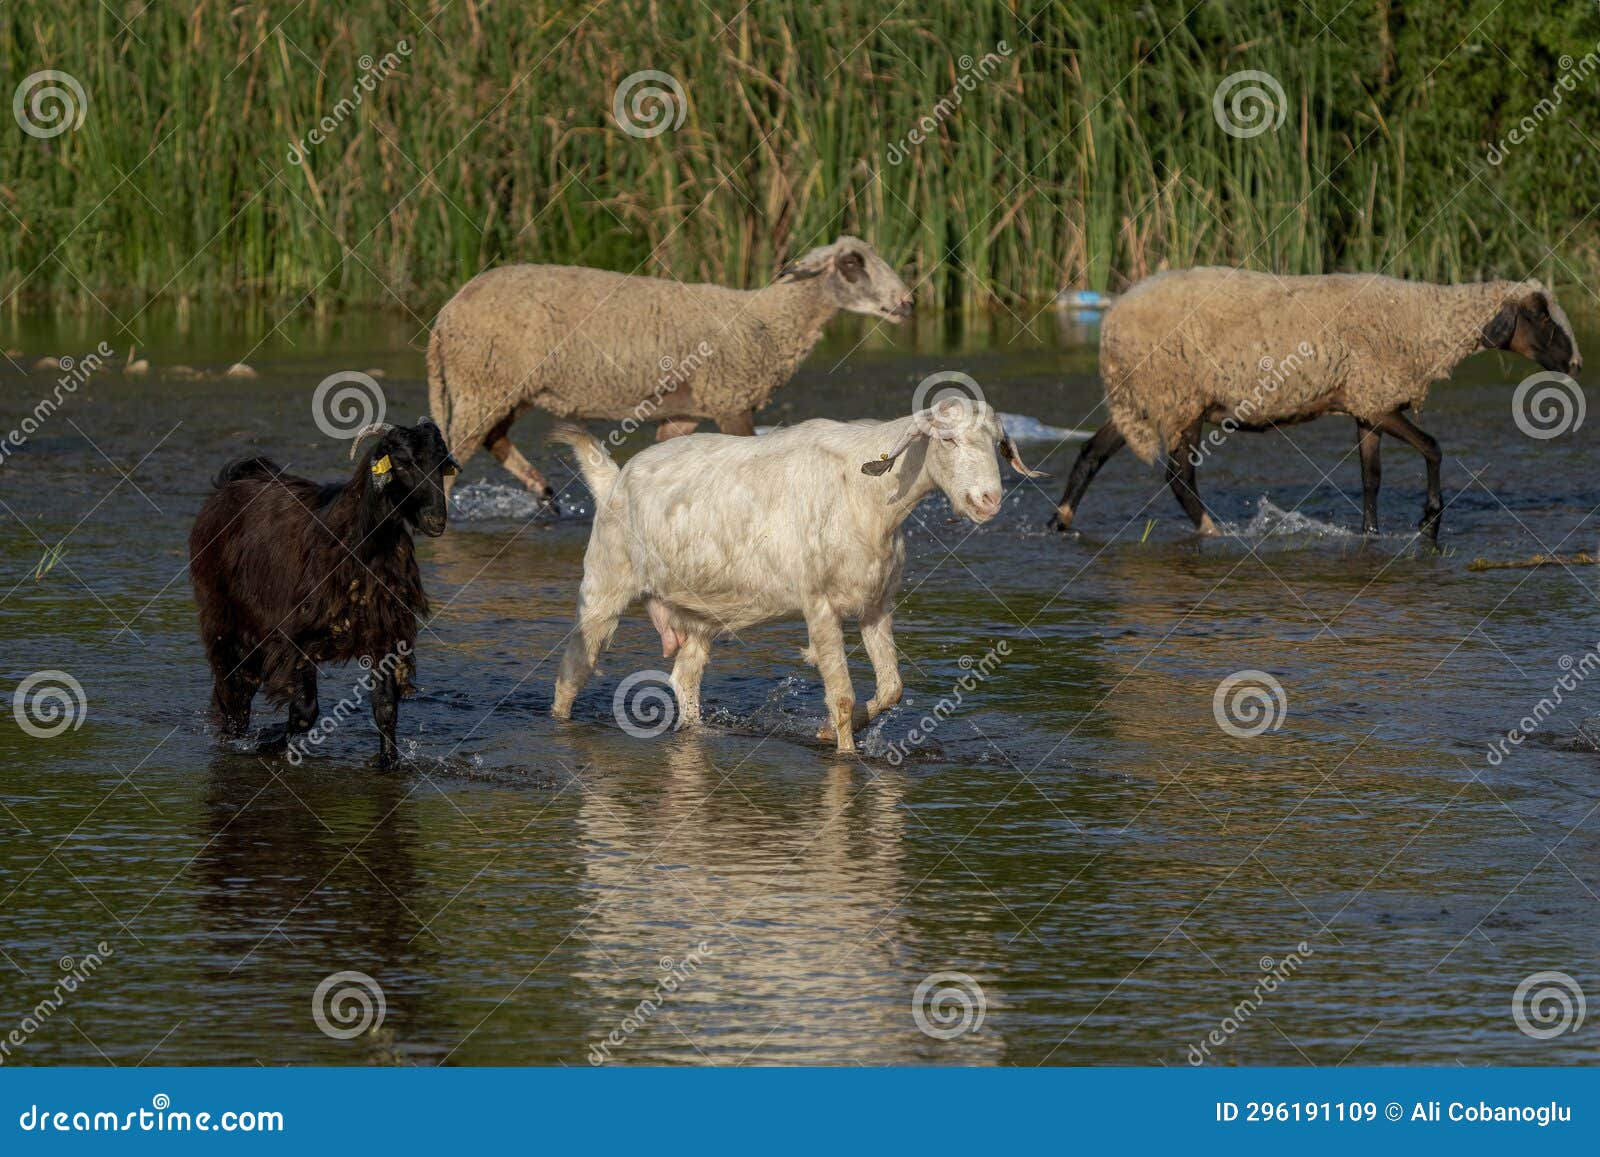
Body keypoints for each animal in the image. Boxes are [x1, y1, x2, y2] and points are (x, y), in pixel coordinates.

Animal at [188, 417, 459, 767]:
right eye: (403, 463)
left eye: (441, 465)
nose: (436, 521)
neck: (359, 540)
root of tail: (237, 477)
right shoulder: (293, 637)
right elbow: (305, 711)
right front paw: (270, 743)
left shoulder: (385, 635)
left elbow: (385, 708)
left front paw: (388, 762)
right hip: (222, 615)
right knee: (232, 685)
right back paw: (233, 736)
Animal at [427, 236, 913, 505]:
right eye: (851, 264)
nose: (908, 303)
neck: (766, 323)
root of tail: (444, 316)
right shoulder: (730, 400)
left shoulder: (684, 413)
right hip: (483, 384)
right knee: (455, 458)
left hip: (505, 387)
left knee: (493, 439)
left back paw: (543, 491)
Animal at [546, 397, 1042, 753]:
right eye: (947, 441)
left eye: (997, 444)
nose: (988, 501)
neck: (866, 494)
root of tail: (613, 479)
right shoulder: (818, 604)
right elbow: (841, 696)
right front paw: (844, 751)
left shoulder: (876, 604)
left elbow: (892, 688)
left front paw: (825, 732)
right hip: (606, 581)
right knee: (573, 668)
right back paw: (559, 722)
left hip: (700, 612)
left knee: (684, 678)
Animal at [1051, 267, 1582, 541]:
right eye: (1541, 316)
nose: (1575, 364)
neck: (1423, 324)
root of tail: (1113, 319)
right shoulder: (1378, 397)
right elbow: (1433, 447)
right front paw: (1431, 518)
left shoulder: (1367, 405)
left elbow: (1371, 478)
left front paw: (1371, 532)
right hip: (1180, 396)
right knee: (1179, 477)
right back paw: (1213, 531)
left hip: (1147, 396)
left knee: (1093, 452)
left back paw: (1060, 520)